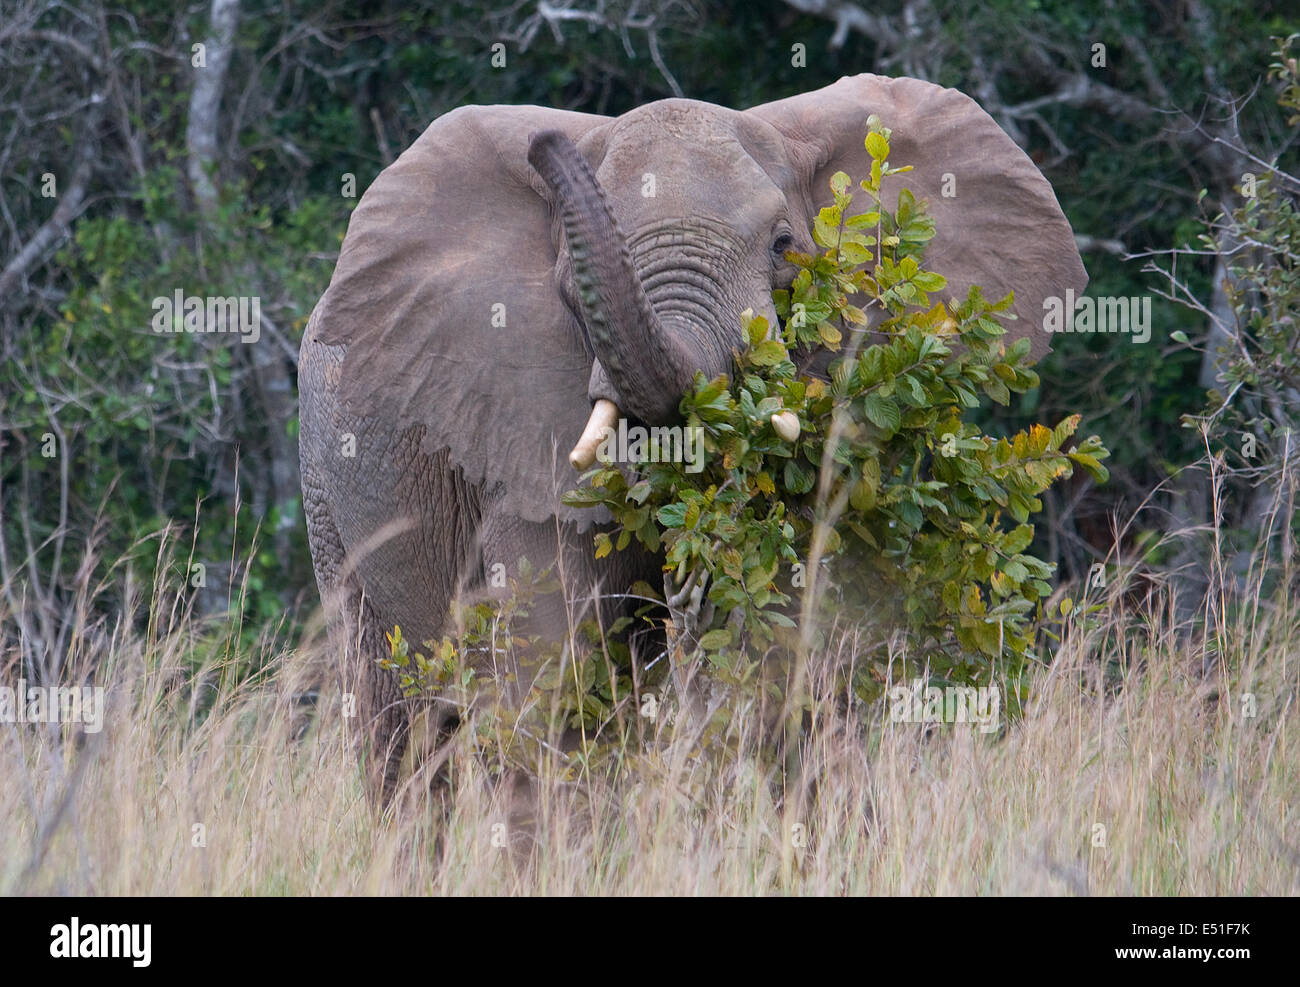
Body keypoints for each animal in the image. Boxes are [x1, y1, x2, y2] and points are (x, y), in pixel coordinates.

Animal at [298, 73, 1087, 806]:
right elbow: (554, 668)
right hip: (325, 492)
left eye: (784, 248)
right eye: (571, 284)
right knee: (397, 726)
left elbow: (790, 643)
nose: (544, 145)